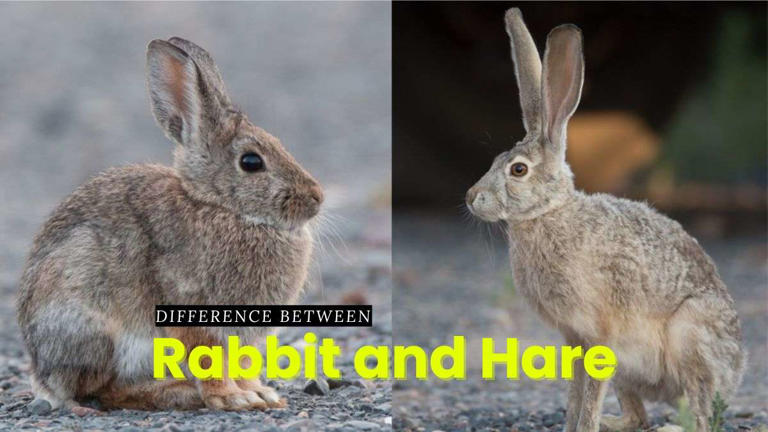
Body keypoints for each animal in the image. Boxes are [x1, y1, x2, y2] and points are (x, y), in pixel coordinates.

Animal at [17, 37, 324, 413]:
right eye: (251, 162)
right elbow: (208, 361)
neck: (219, 207)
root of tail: (42, 375)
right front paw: (232, 398)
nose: (317, 197)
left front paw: (259, 393)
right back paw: (179, 393)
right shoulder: (190, 309)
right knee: (106, 390)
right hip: (95, 326)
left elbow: (243, 363)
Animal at [466, 9, 745, 432]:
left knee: (700, 414)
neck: (551, 213)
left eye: (518, 170)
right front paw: (569, 426)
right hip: (629, 373)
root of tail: (737, 371)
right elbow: (576, 388)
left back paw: (672, 425)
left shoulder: (600, 332)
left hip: (691, 338)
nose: (470, 198)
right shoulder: (574, 337)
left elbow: (589, 392)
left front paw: (583, 427)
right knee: (637, 416)